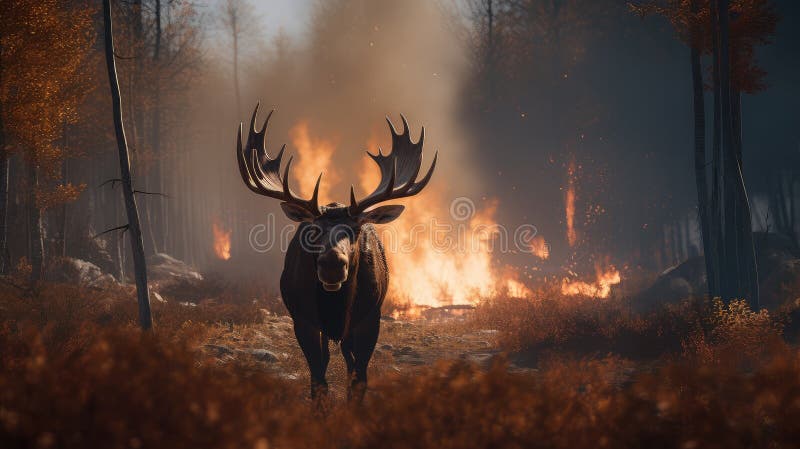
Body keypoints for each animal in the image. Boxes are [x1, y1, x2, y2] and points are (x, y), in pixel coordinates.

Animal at [236, 105, 437, 401]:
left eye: (355, 229)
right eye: (313, 230)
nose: (332, 264)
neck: (336, 309)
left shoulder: (370, 317)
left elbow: (359, 378)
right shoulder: (303, 319)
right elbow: (318, 379)